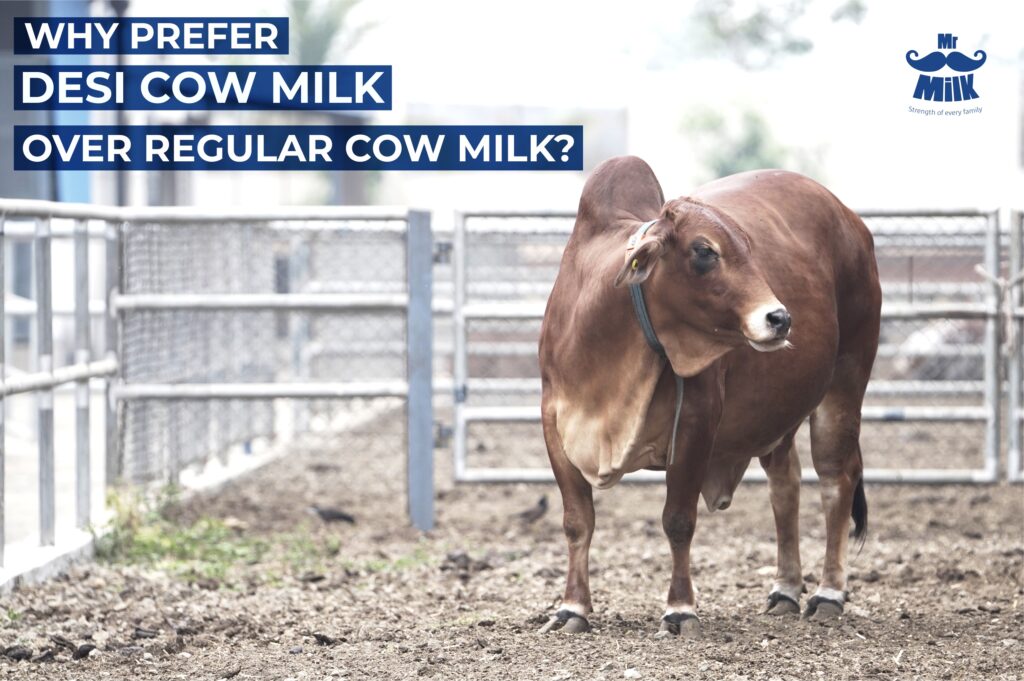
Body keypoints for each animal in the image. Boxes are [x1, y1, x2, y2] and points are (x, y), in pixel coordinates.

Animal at [537, 156, 881, 637]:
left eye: (749, 248)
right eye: (704, 250)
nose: (779, 318)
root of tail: (851, 221)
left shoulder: (697, 423)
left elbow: (678, 521)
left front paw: (680, 609)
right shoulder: (556, 425)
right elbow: (577, 522)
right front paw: (572, 608)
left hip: (846, 380)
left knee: (836, 480)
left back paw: (828, 594)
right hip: (776, 410)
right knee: (786, 485)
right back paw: (785, 590)